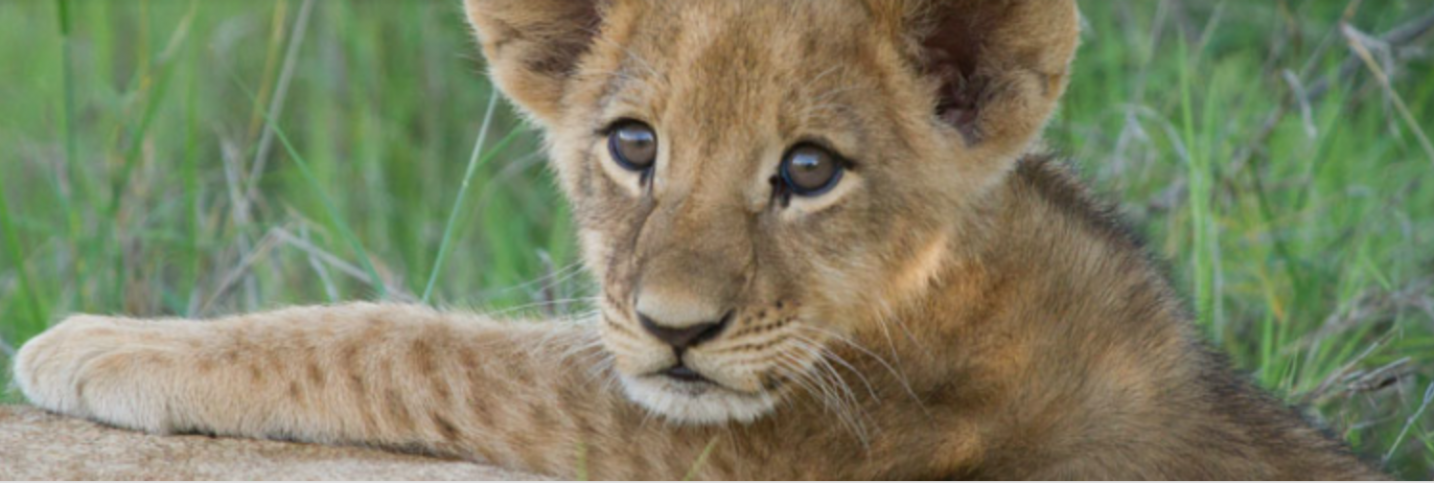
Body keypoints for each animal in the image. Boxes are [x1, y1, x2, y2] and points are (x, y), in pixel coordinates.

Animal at [12, 0, 1387, 479]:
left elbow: (409, 345)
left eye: (810, 171)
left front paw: (103, 342)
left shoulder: (765, 443)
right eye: (634, 146)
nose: (679, 330)